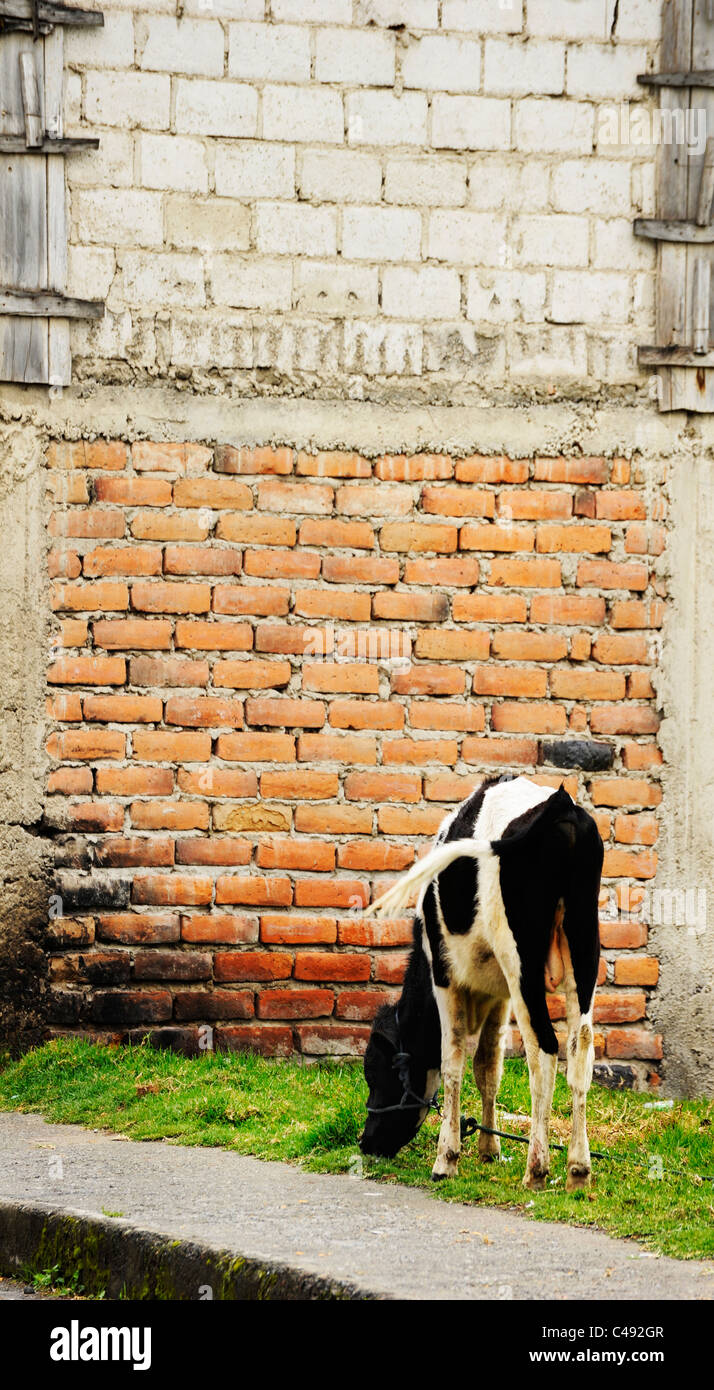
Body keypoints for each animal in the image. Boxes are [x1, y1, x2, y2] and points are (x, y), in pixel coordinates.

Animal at [359, 774, 603, 1192]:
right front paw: (489, 1150)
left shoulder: (445, 975)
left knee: (544, 1050)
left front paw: (447, 1158)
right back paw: (578, 1169)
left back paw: (536, 1169)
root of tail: (560, 805)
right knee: (580, 1049)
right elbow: (488, 1067)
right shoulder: (498, 993)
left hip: (521, 960)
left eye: (375, 1073)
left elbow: (453, 1060)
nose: (365, 1141)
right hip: (584, 947)